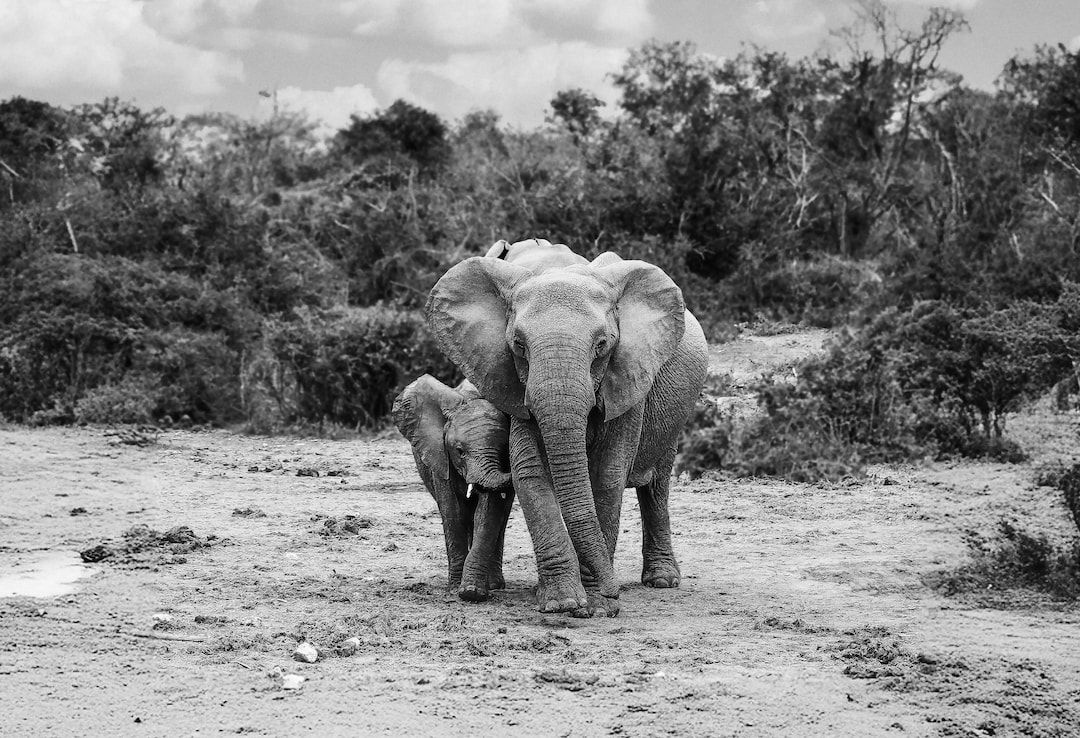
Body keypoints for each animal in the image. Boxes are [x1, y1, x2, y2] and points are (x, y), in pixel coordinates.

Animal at [392, 375, 516, 602]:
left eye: (505, 450)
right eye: (460, 451)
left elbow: (487, 512)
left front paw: (471, 592)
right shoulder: (440, 456)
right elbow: (453, 512)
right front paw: (457, 588)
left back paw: (495, 585)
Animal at [427, 240, 709, 617]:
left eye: (602, 345)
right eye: (518, 346)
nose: (613, 592)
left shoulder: (628, 375)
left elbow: (607, 473)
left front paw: (597, 606)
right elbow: (530, 470)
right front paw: (563, 603)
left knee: (656, 487)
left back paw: (662, 581)